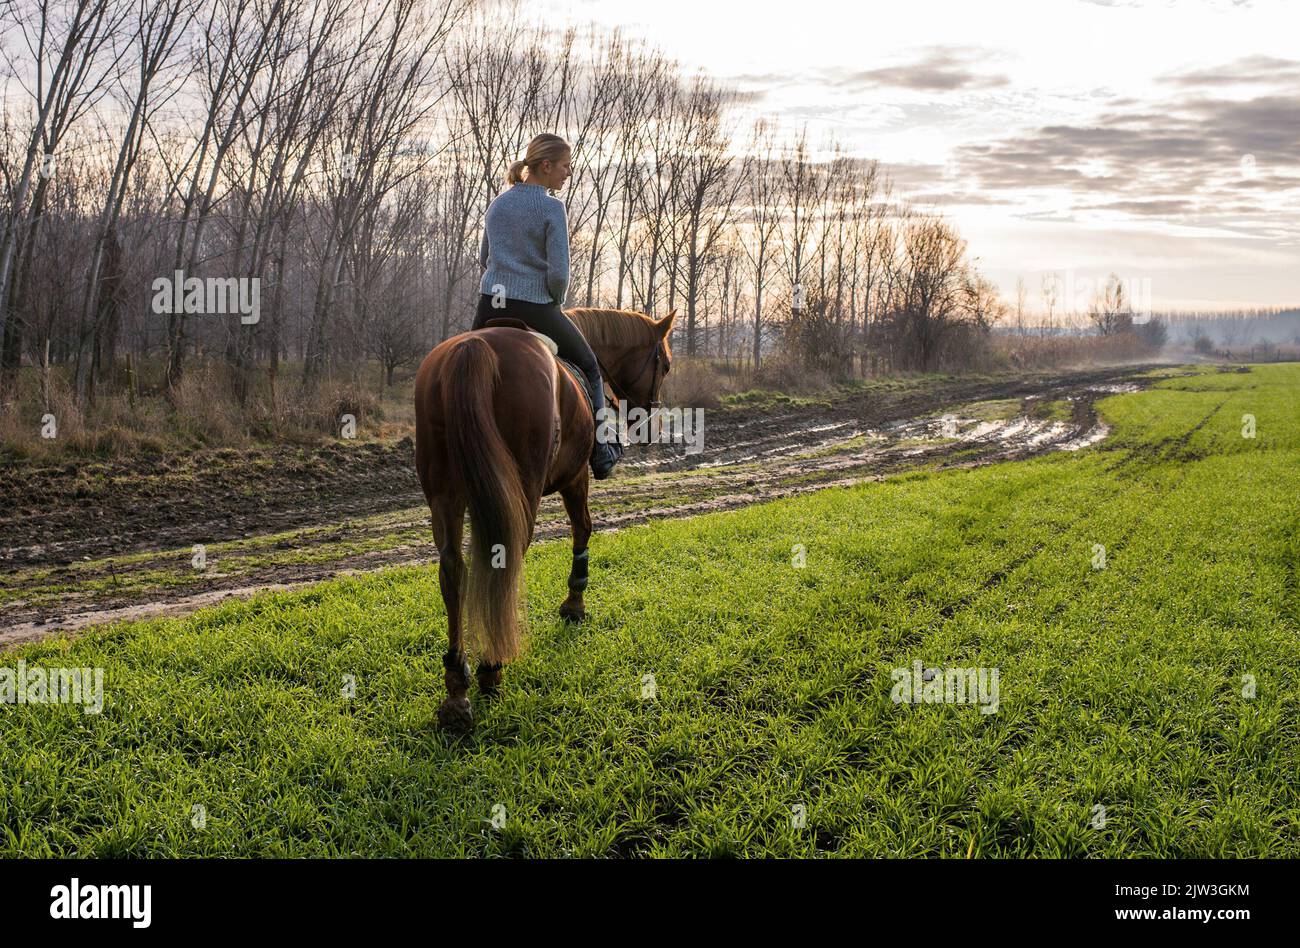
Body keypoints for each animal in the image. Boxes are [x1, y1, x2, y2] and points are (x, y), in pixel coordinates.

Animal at [413, 306, 676, 732]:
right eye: (664, 365)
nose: (649, 422)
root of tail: (475, 349)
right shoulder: (576, 477)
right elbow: (583, 528)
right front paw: (574, 603)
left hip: (445, 495)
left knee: (453, 570)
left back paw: (457, 688)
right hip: (522, 493)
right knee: (503, 562)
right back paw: (491, 667)